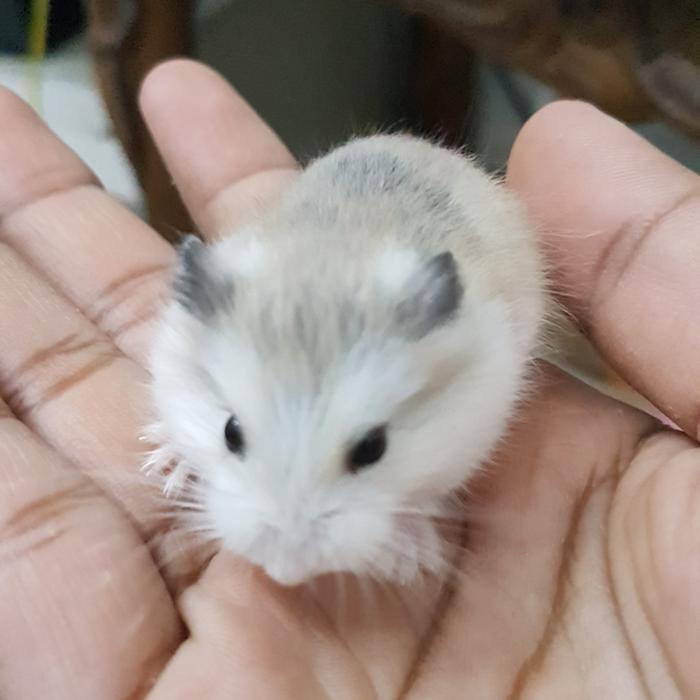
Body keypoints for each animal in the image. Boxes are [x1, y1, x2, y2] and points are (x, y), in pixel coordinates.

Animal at [145, 134, 548, 586]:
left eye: (373, 448)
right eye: (231, 433)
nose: (284, 573)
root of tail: (413, 142)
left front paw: (413, 561)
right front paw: (162, 466)